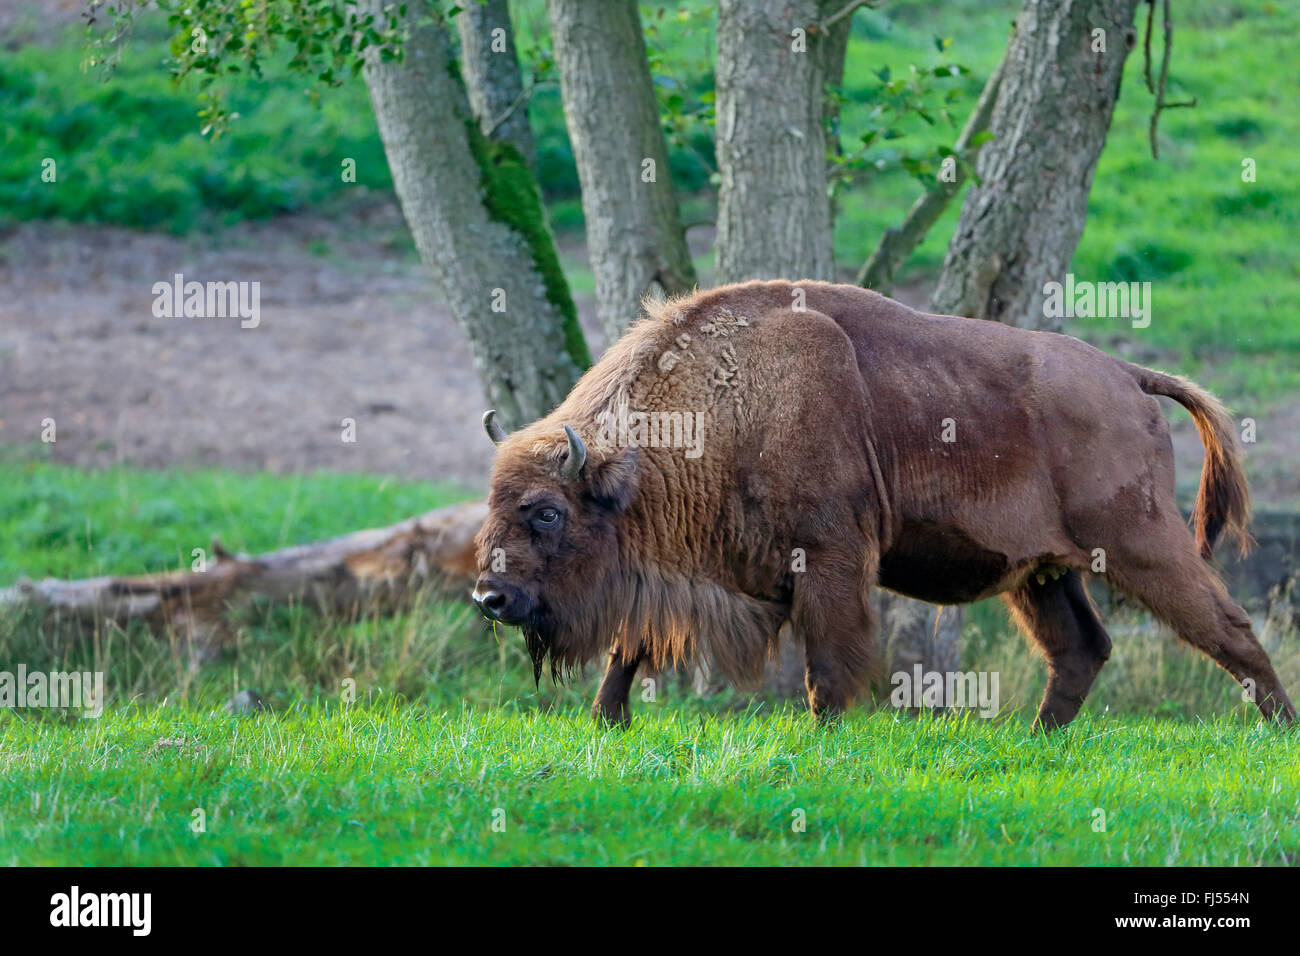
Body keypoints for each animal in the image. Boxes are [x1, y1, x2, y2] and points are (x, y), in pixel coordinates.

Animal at [472, 280, 1295, 730]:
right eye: (494, 504)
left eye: (546, 511)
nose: (490, 596)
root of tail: (1128, 375)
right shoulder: (682, 575)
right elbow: (629, 648)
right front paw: (605, 723)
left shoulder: (830, 560)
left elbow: (829, 667)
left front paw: (826, 736)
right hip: (1042, 574)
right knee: (1080, 649)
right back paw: (1034, 741)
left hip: (1139, 544)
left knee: (1226, 627)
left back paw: (1279, 730)